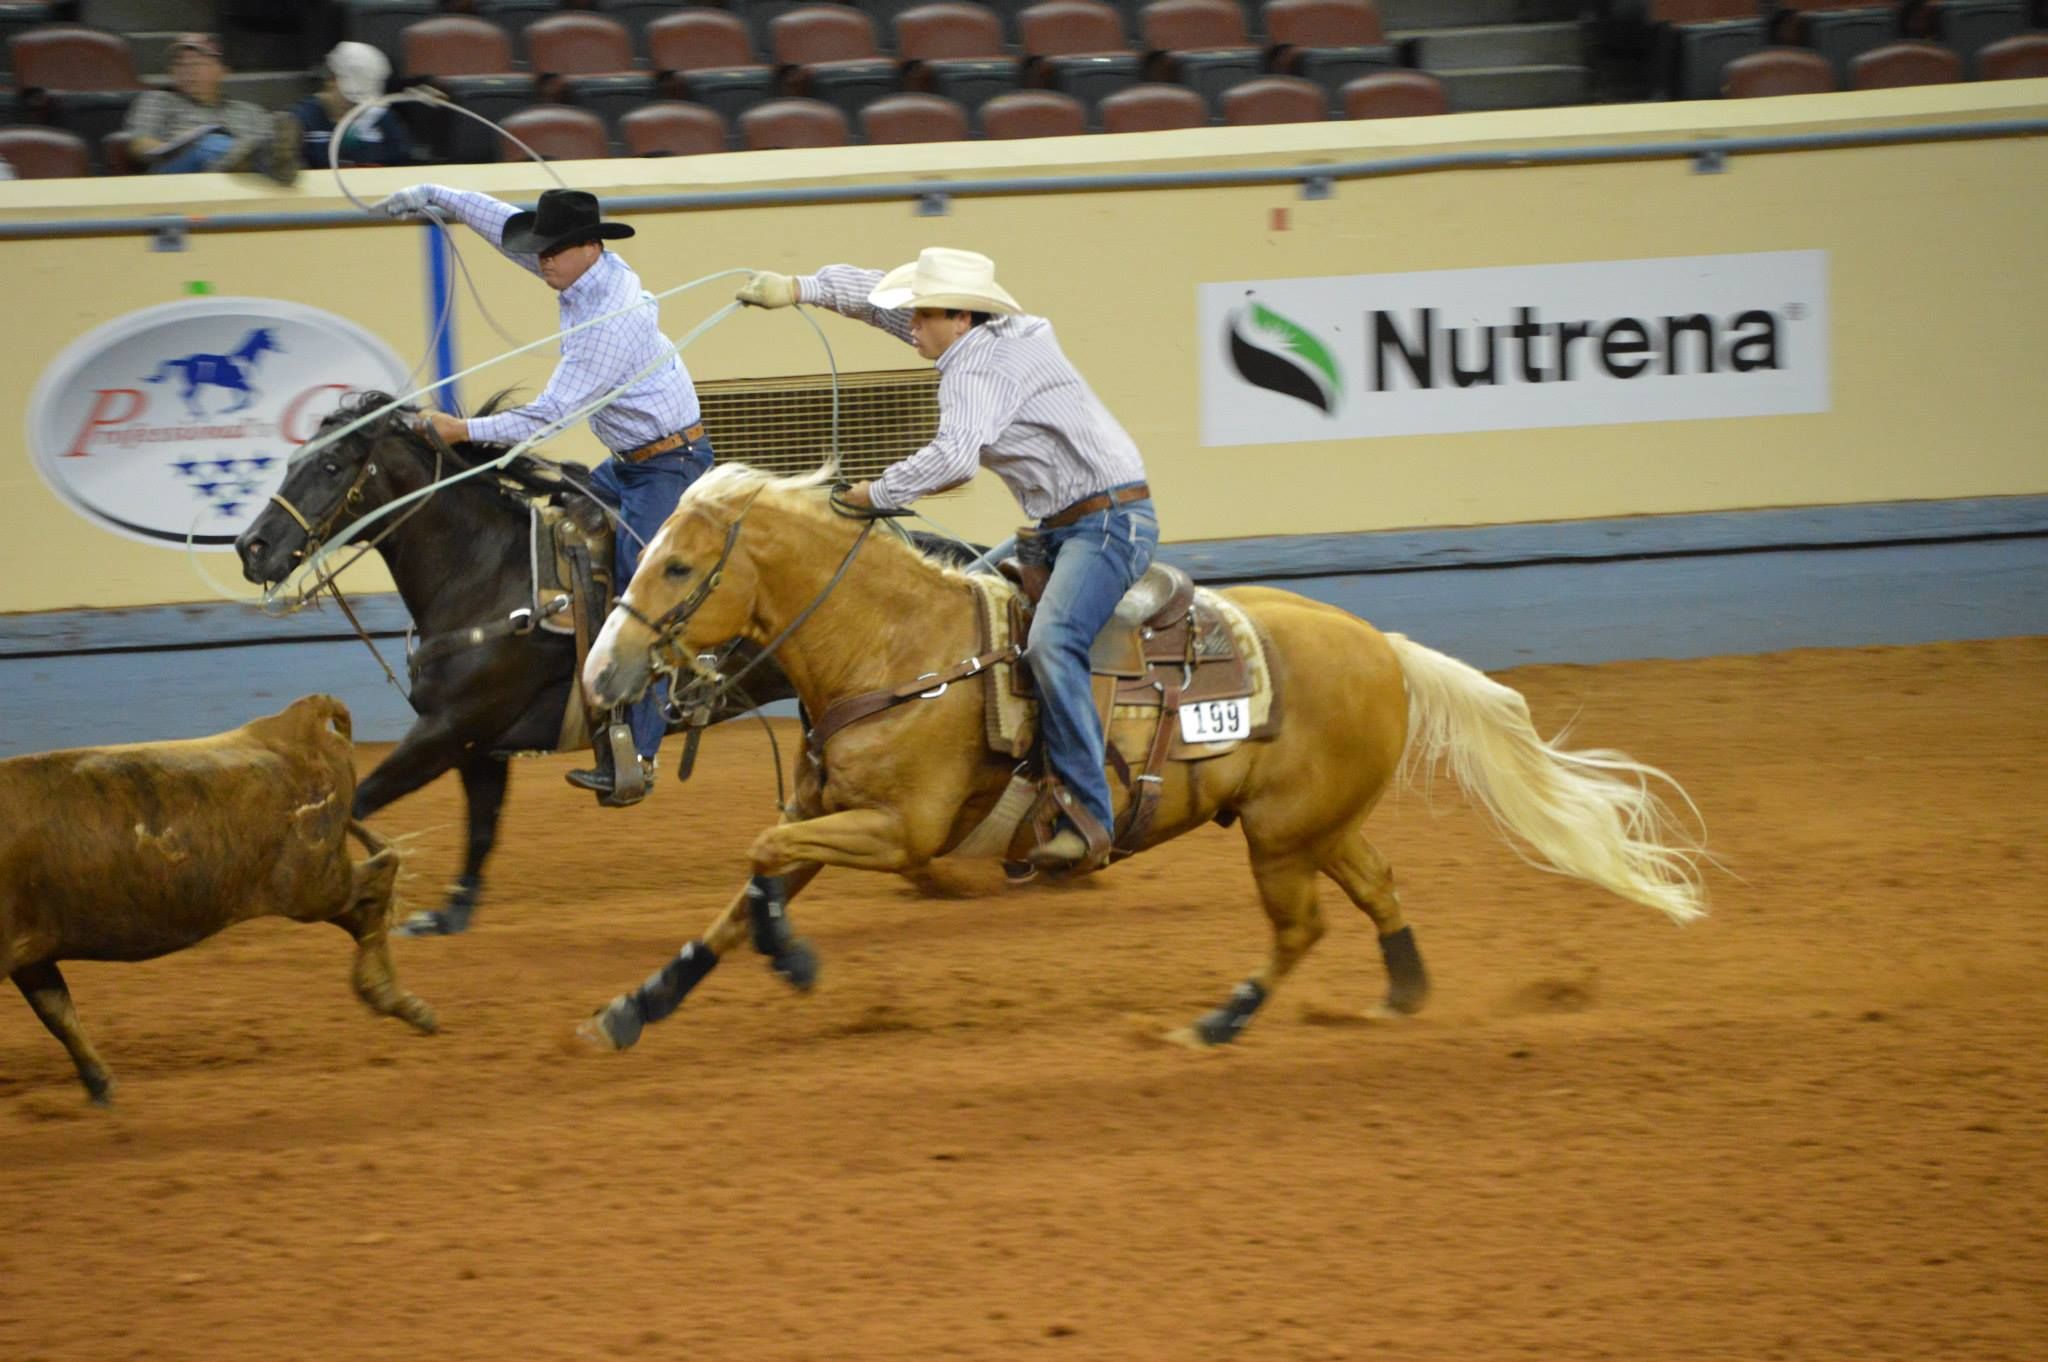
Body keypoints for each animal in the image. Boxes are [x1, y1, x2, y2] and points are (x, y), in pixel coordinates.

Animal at [145, 326, 282, 418]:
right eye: (268, 337)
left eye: (273, 336)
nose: (279, 348)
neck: (242, 359)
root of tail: (185, 361)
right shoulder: (235, 382)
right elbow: (252, 391)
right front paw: (235, 408)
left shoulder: (236, 384)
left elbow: (244, 393)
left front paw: (236, 408)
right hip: (194, 383)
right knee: (185, 395)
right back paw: (200, 414)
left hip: (198, 384)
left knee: (186, 395)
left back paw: (199, 413)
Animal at [234, 396, 984, 938]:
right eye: (296, 460)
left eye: (334, 466)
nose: (252, 546)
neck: (487, 576)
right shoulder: (477, 745)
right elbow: (480, 830)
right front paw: (448, 914)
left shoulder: (444, 733)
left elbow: (354, 801)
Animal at [574, 463, 1709, 1051]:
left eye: (676, 563)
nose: (600, 674)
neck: (903, 649)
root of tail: (1381, 646)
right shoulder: (827, 813)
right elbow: (748, 886)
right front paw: (632, 1010)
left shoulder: (901, 833)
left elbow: (761, 862)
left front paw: (794, 959)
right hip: (1315, 823)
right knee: (1379, 888)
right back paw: (1399, 994)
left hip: (1281, 838)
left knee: (1300, 928)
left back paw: (1217, 1024)